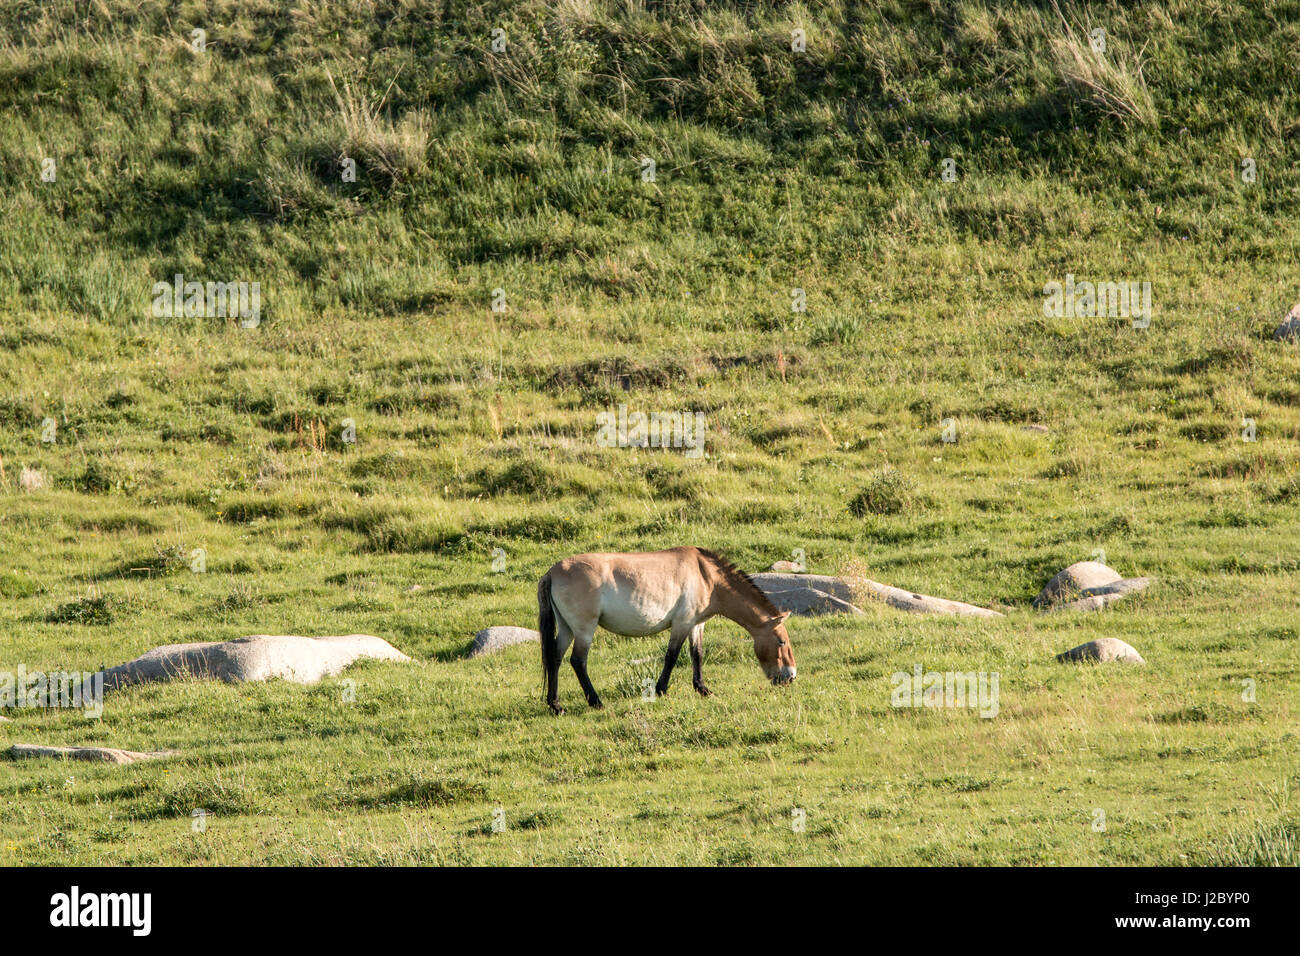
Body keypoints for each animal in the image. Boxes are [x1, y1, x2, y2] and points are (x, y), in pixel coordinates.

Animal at [537, 546, 796, 714]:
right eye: (781, 641)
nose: (790, 676)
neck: (706, 575)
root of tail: (551, 572)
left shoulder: (696, 624)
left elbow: (697, 655)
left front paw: (703, 689)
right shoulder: (682, 623)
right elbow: (672, 656)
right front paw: (661, 690)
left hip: (567, 628)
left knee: (555, 658)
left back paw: (556, 705)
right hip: (584, 629)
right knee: (577, 661)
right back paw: (595, 702)